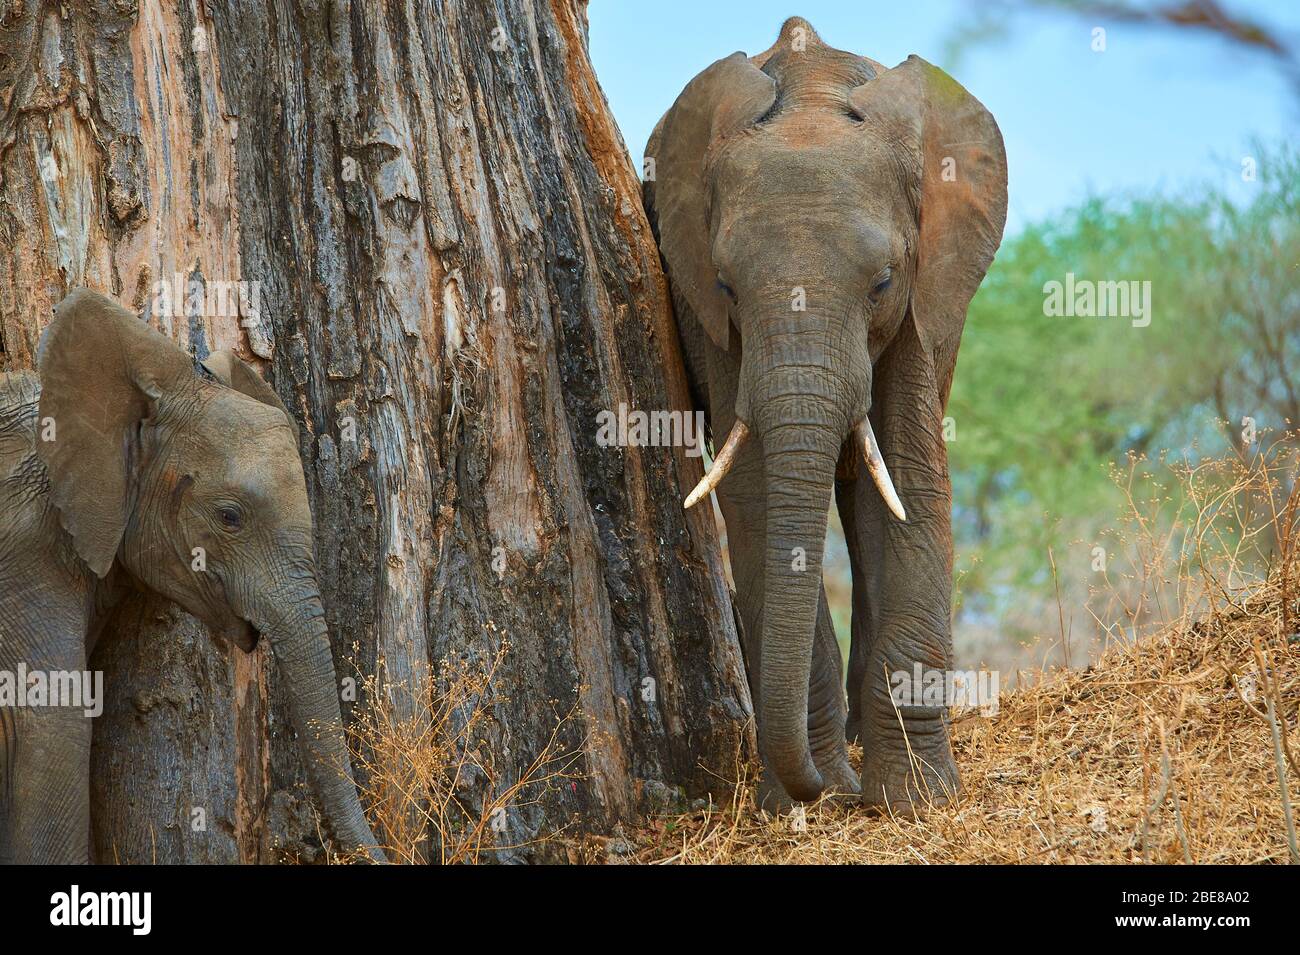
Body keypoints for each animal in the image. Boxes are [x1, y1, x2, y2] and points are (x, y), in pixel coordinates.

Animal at [644, 18, 1007, 812]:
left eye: (881, 283)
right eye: (727, 284)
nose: (818, 789)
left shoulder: (921, 296)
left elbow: (910, 477)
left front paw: (915, 801)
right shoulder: (713, 319)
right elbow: (754, 496)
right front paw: (811, 798)